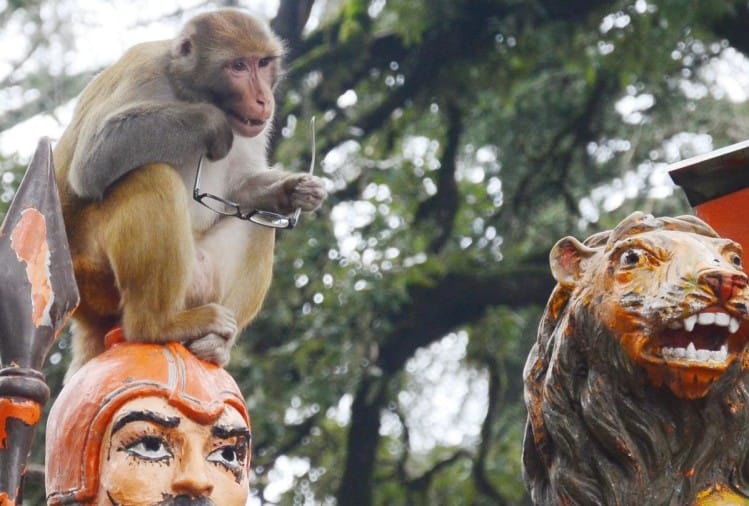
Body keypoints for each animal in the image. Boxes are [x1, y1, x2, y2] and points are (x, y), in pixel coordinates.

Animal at [53, 9, 326, 380]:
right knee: (150, 175)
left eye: (263, 62)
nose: (262, 99)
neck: (185, 88)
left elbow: (242, 187)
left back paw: (215, 344)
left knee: (261, 220)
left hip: (199, 281)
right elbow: (91, 162)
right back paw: (157, 325)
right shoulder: (145, 70)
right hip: (95, 278)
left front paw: (297, 190)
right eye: (238, 66)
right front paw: (212, 122)